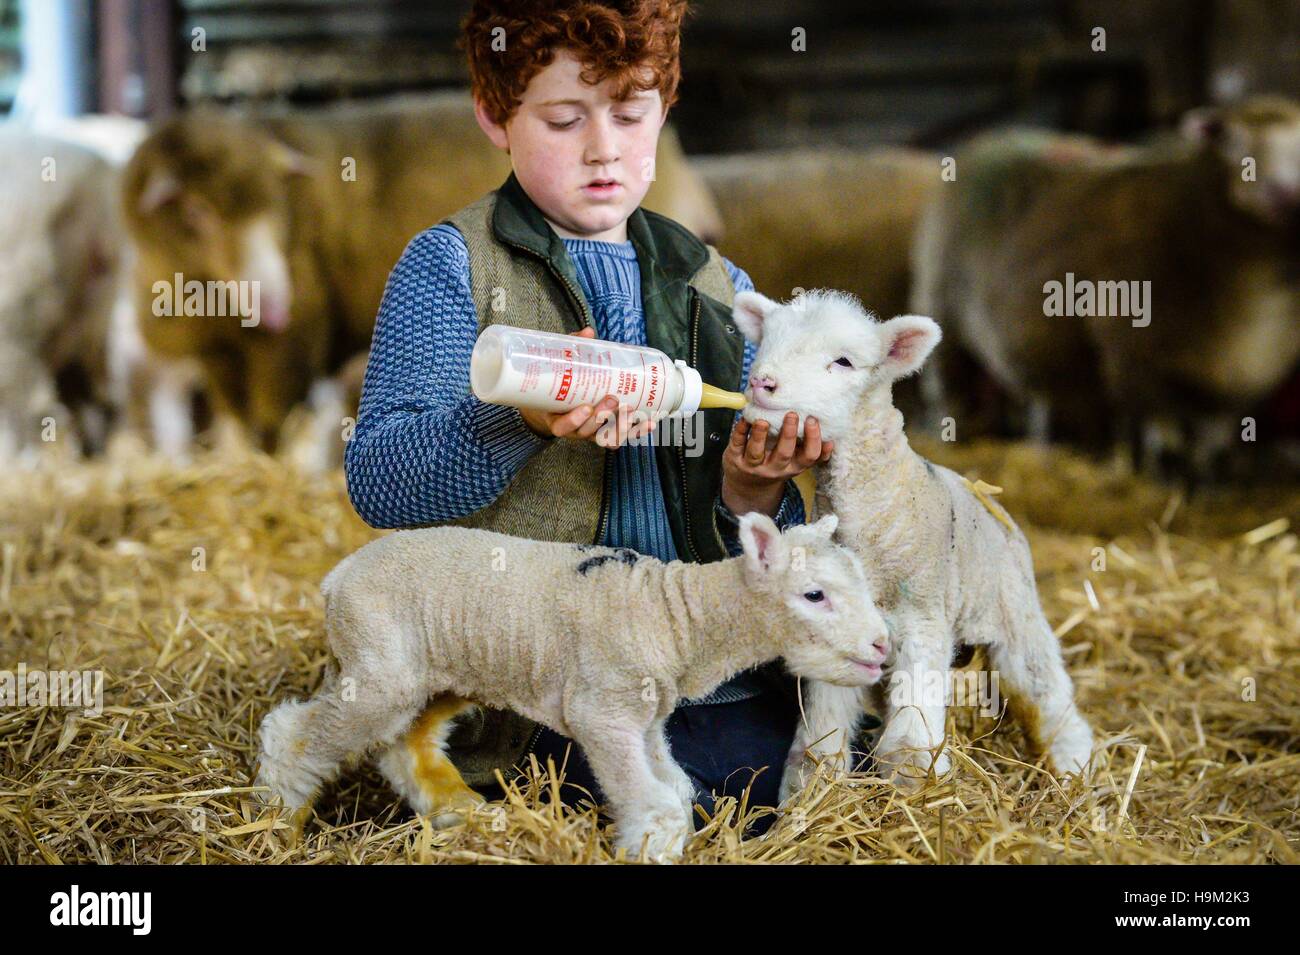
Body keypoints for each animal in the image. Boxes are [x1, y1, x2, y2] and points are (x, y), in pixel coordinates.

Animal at [255, 511, 889, 860]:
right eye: (814, 594)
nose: (882, 646)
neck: (674, 616)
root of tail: (336, 578)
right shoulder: (602, 713)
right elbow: (655, 803)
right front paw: (647, 848)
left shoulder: (646, 718)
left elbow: (676, 791)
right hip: (379, 670)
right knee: (294, 736)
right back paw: (277, 823)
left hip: (435, 673)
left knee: (403, 746)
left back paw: (465, 814)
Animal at [730, 289, 1095, 797]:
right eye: (766, 340)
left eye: (843, 361)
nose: (762, 382)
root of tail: (989, 498)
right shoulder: (841, 622)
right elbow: (824, 722)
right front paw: (816, 783)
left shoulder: (921, 617)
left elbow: (913, 724)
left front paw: (913, 780)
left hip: (1014, 613)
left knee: (1046, 692)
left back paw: (1074, 768)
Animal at [911, 96, 1300, 480]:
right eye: (1232, 138)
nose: (1284, 193)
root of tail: (997, 135)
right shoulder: (1136, 359)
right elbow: (1162, 438)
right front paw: (1161, 478)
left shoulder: (1231, 385)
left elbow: (1211, 447)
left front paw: (1208, 483)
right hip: (943, 312)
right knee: (950, 391)